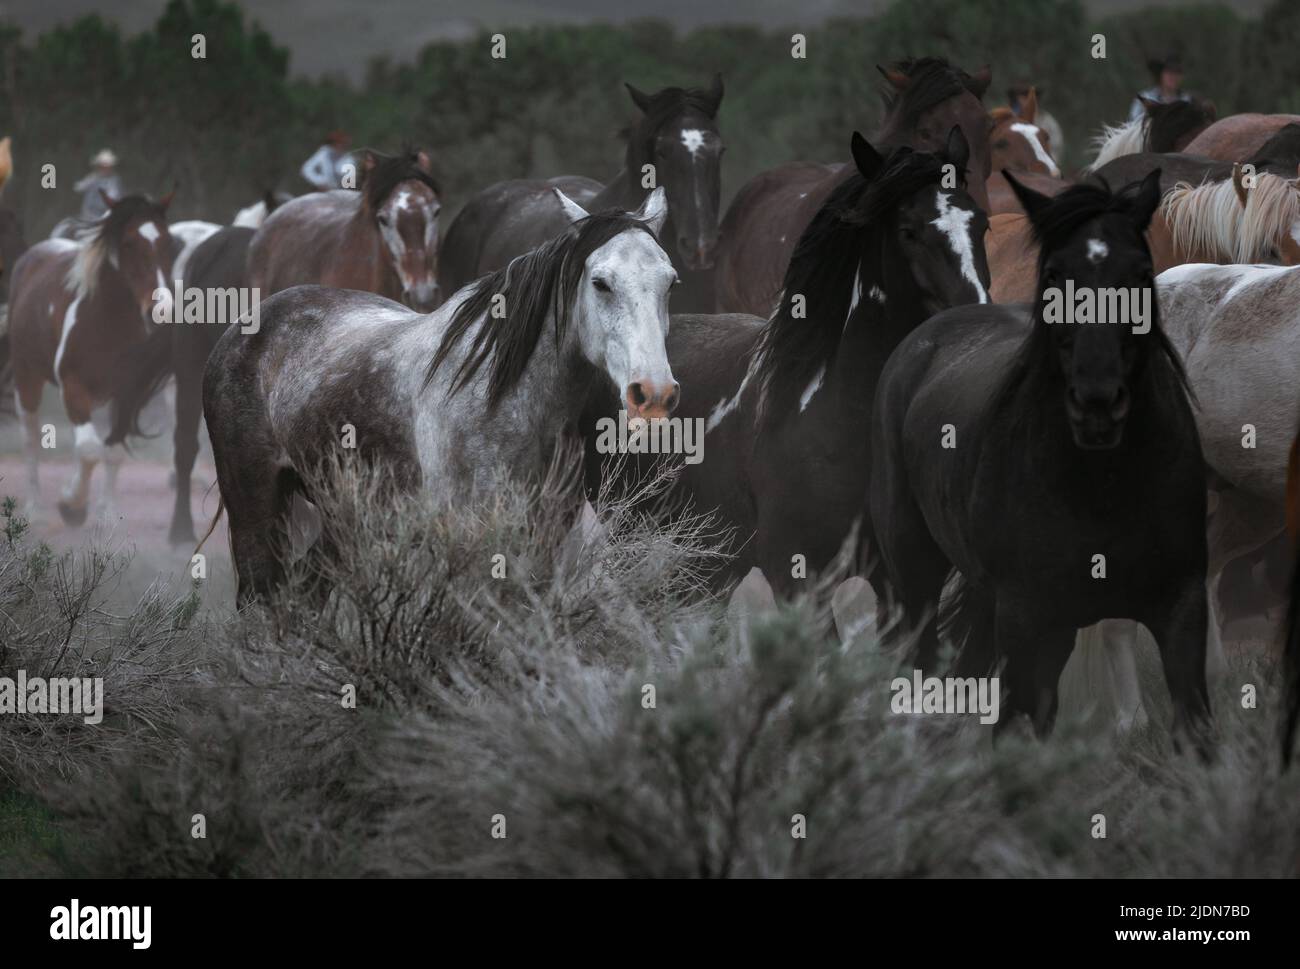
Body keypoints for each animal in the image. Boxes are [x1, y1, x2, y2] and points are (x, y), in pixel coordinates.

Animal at [3, 192, 174, 524]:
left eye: (168, 242)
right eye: (128, 243)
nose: (161, 310)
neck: (105, 322)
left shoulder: (125, 393)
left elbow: (112, 450)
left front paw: (106, 513)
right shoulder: (72, 387)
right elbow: (89, 449)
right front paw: (72, 505)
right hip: (27, 375)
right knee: (30, 437)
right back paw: (34, 507)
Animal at [204, 188, 678, 606]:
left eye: (670, 282)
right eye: (600, 283)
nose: (652, 393)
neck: (502, 397)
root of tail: (249, 323)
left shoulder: (542, 547)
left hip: (343, 521)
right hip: (254, 512)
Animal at [868, 171, 1211, 748]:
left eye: (1141, 274)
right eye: (1053, 274)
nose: (1097, 402)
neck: (1104, 484)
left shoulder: (1182, 609)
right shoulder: (1026, 620)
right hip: (915, 572)